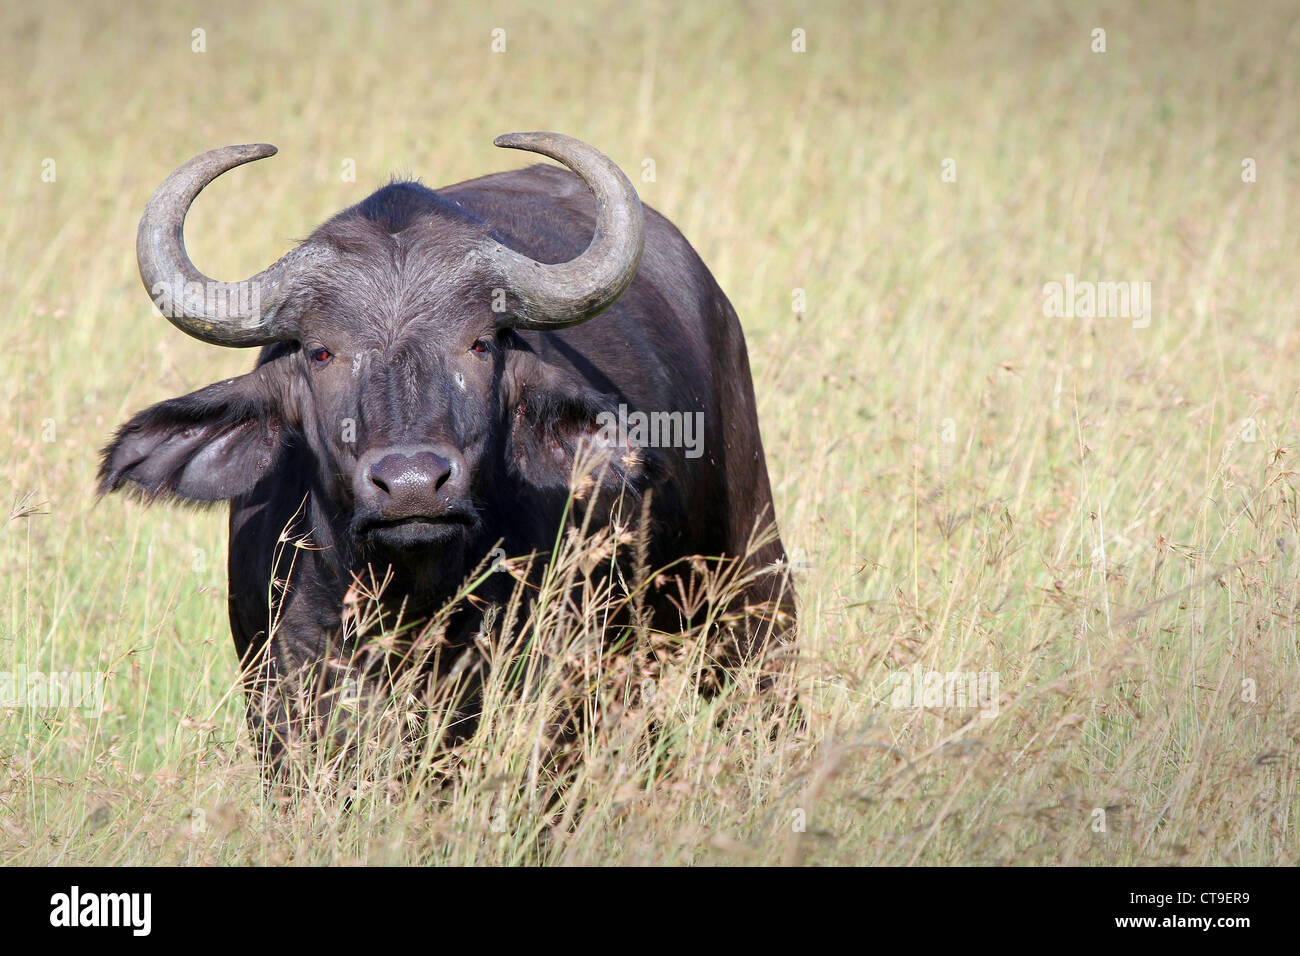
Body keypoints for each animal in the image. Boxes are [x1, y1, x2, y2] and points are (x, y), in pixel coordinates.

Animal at [99, 132, 794, 769]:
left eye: (480, 344)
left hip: (749, 586)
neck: (408, 600)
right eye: (321, 352)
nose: (412, 483)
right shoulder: (283, 696)